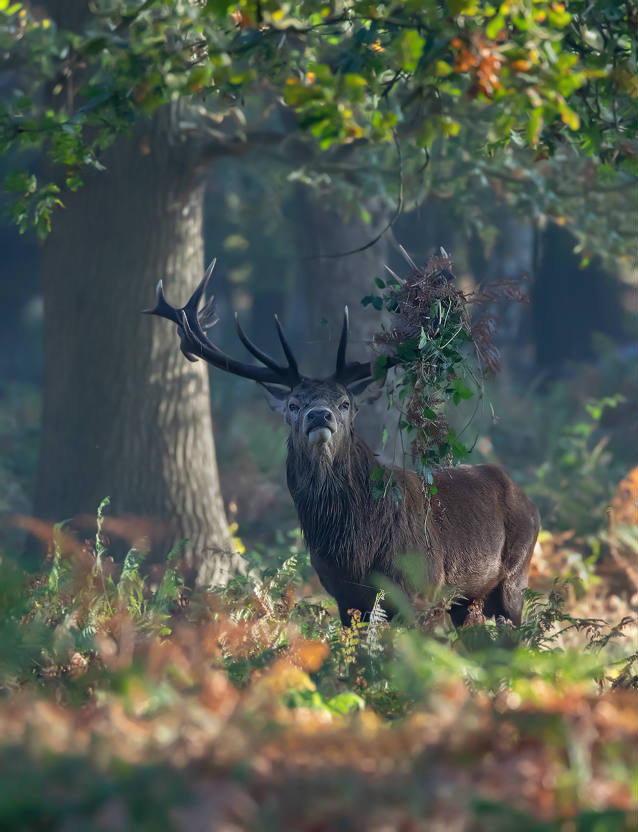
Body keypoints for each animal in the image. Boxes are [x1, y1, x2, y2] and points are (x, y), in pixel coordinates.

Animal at [145, 260, 540, 628]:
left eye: (345, 402)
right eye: (293, 404)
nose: (319, 415)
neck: (354, 551)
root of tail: (528, 500)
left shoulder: (420, 590)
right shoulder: (343, 597)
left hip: (514, 577)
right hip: (466, 600)